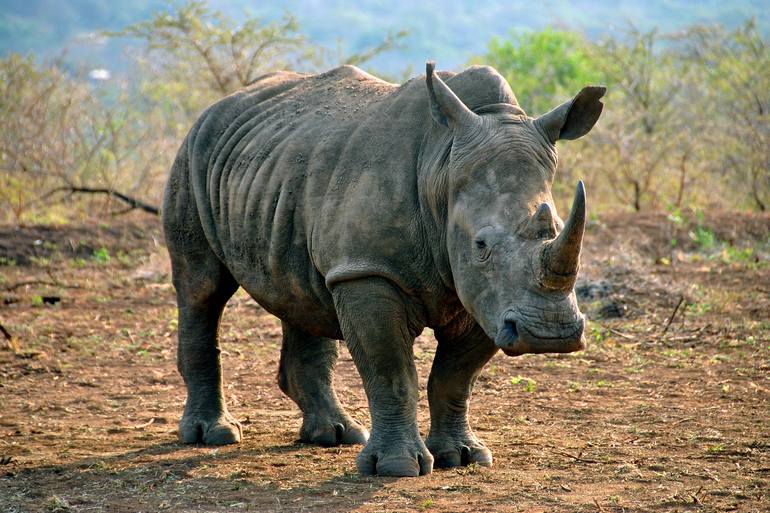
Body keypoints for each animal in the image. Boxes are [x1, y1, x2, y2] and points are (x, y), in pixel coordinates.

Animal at [163, 61, 605, 477]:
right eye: (481, 245)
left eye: (556, 228)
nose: (550, 334)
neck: (441, 167)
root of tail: (220, 105)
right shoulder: (368, 270)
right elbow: (391, 372)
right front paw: (397, 467)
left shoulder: (488, 298)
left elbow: (455, 377)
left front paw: (463, 457)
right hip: (193, 153)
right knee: (202, 289)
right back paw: (214, 435)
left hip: (279, 173)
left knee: (298, 290)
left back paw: (336, 434)